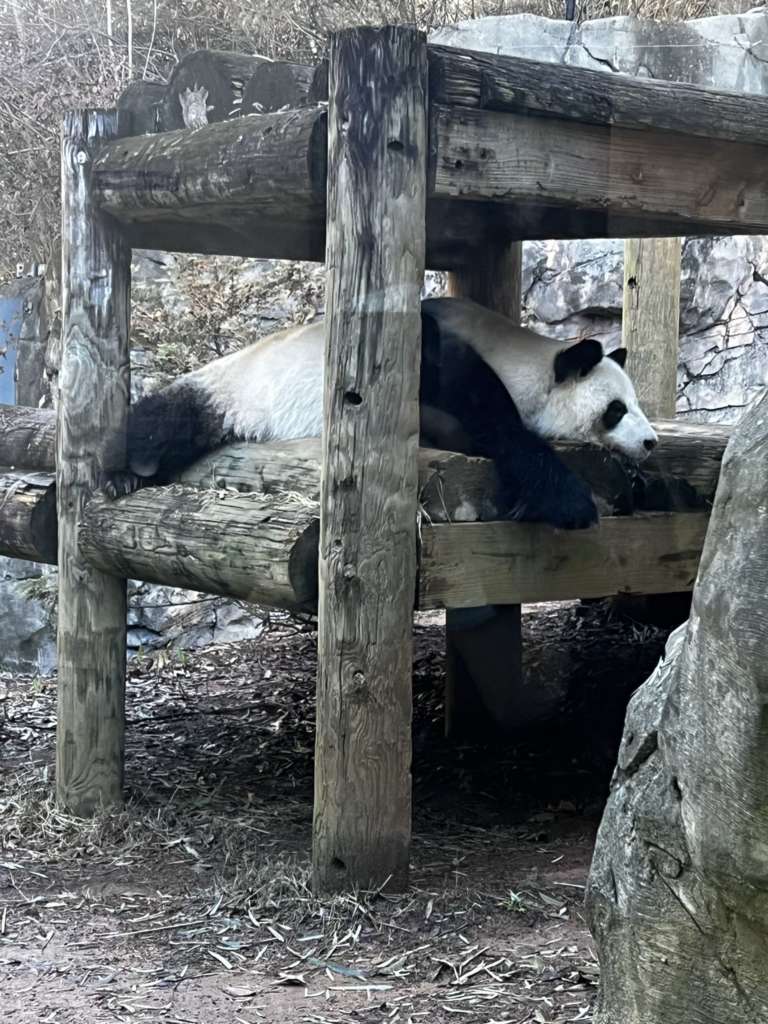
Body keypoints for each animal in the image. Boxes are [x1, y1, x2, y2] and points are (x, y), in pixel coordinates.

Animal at [102, 297, 658, 530]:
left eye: (635, 403)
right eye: (615, 410)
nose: (651, 442)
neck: (519, 353)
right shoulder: (442, 359)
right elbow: (494, 426)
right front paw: (569, 502)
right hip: (233, 387)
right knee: (162, 420)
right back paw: (123, 473)